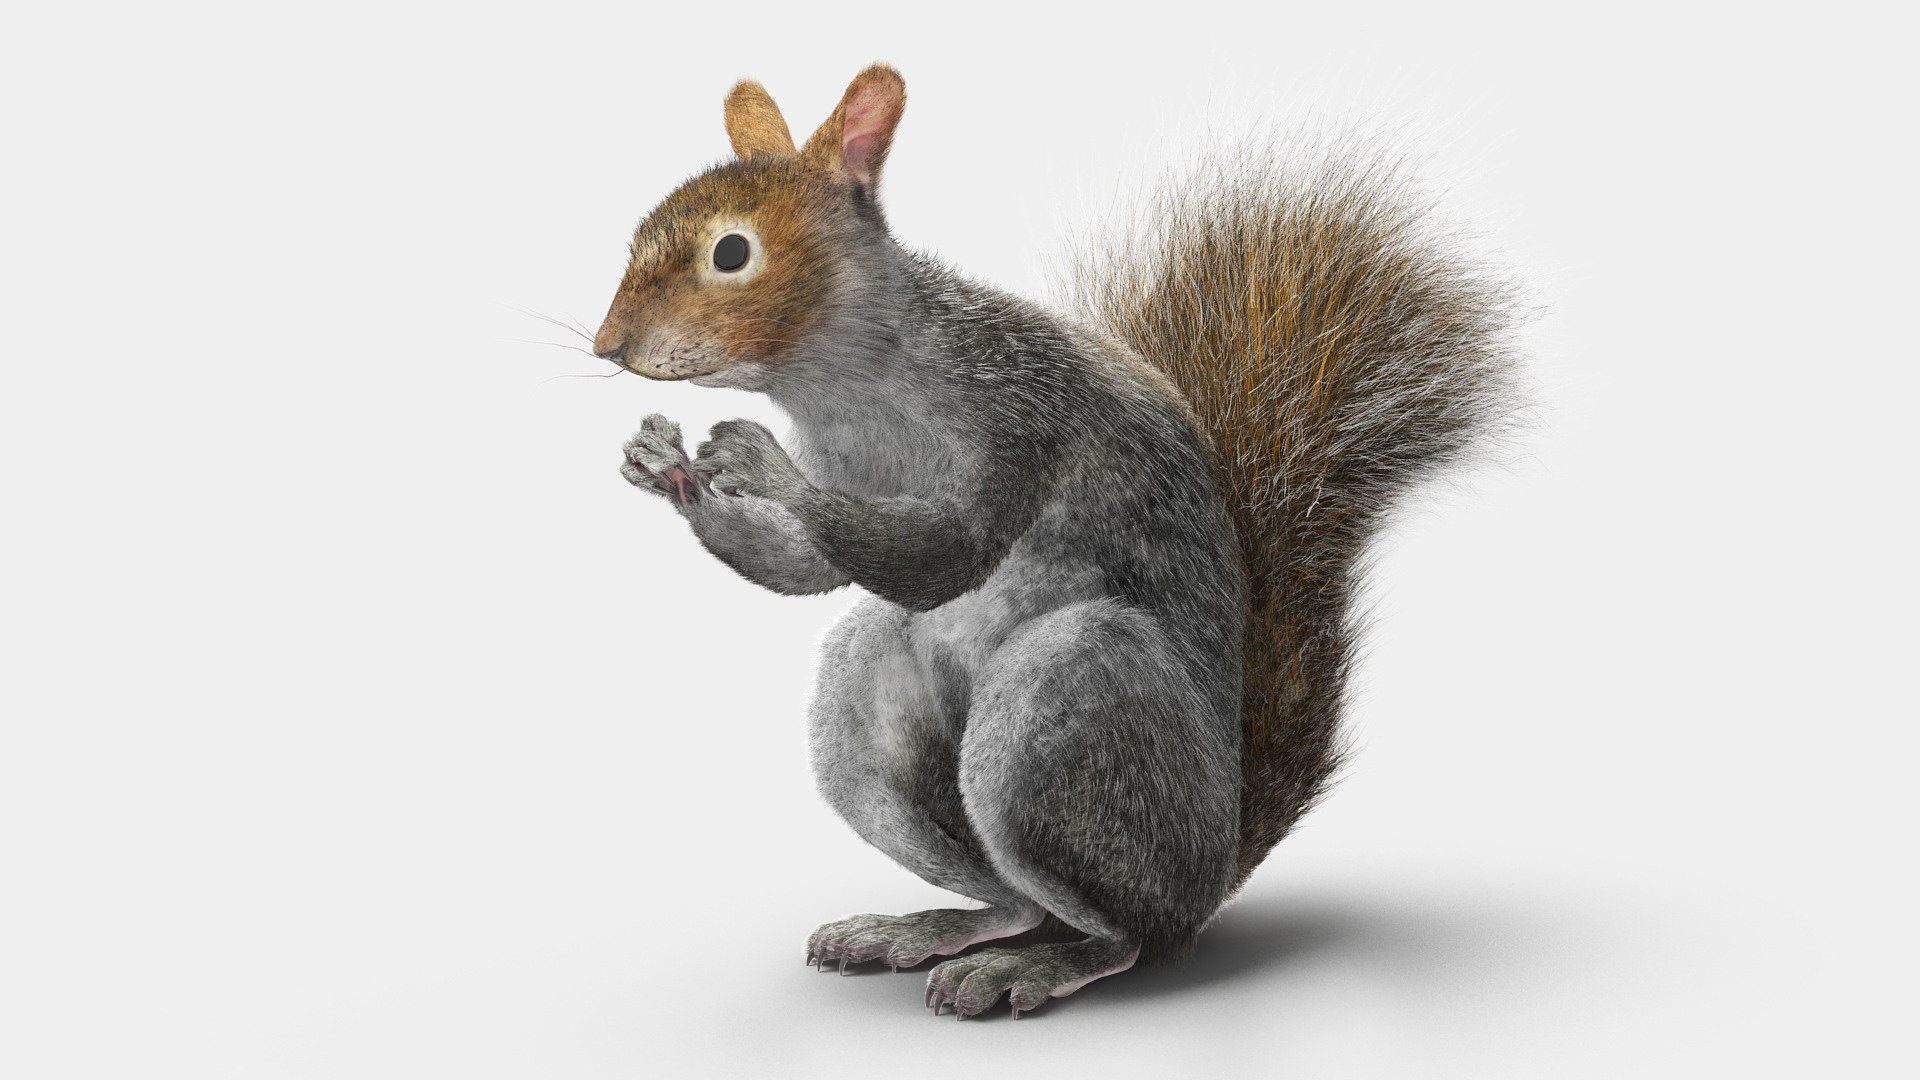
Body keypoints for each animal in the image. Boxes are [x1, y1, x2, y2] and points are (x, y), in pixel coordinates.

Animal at [591, 64, 1518, 1019]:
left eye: (731, 254)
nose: (606, 346)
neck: (848, 385)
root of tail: (1211, 872)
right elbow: (804, 569)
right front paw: (666, 471)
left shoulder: (1019, 420)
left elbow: (946, 556)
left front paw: (757, 463)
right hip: (872, 717)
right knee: (1016, 900)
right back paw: (922, 931)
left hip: (1068, 698)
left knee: (1122, 936)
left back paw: (1032, 970)